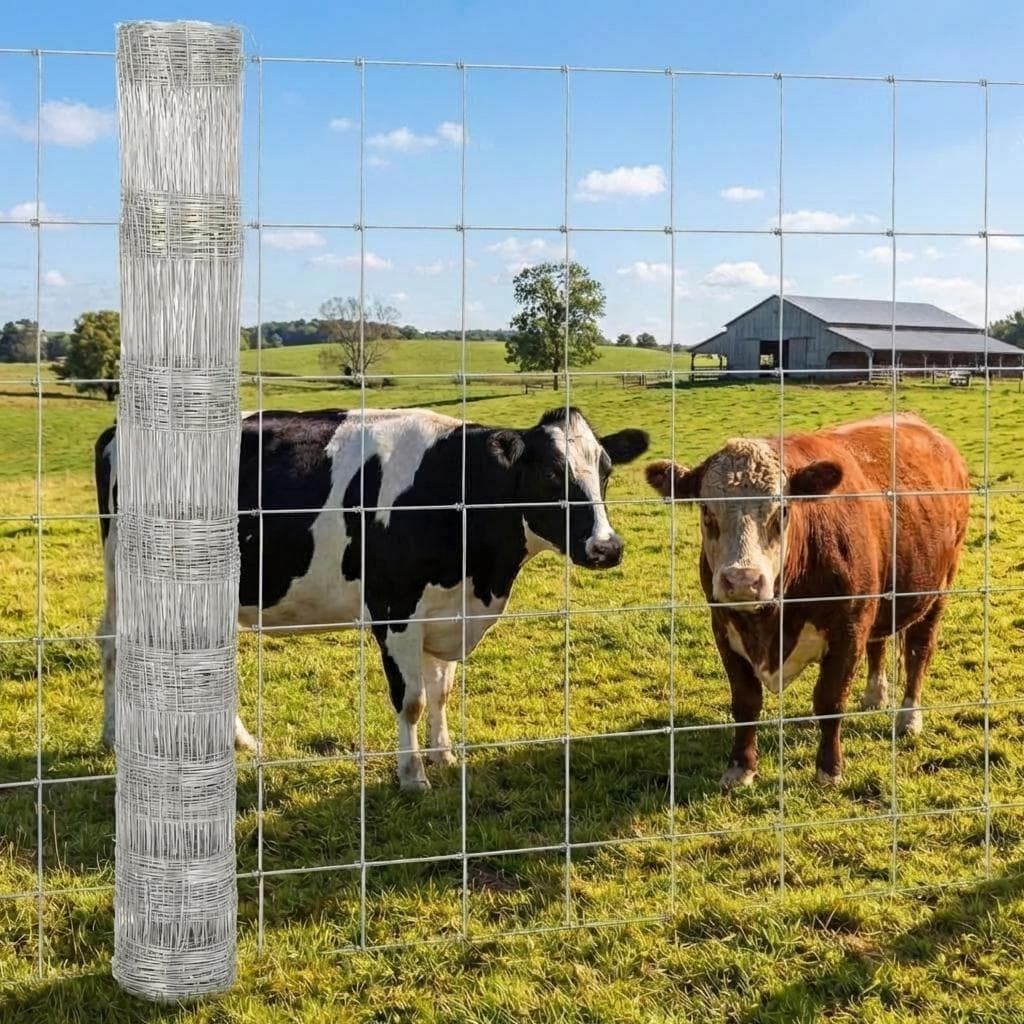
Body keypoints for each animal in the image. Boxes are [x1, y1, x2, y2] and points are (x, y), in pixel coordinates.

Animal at [96, 406, 649, 789]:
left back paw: (237, 740)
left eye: (606, 471)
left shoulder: (445, 611)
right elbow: (412, 700)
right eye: (552, 475)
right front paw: (412, 775)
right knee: (114, 646)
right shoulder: (394, 610)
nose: (607, 547)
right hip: (129, 576)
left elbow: (441, 692)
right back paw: (115, 736)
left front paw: (444, 755)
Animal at [645, 413, 969, 790]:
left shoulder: (849, 629)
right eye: (707, 512)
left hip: (937, 591)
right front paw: (740, 768)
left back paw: (909, 717)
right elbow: (745, 702)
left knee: (919, 651)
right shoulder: (723, 627)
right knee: (879, 643)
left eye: (782, 511)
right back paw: (874, 696)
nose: (743, 580)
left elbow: (829, 699)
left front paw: (829, 770)